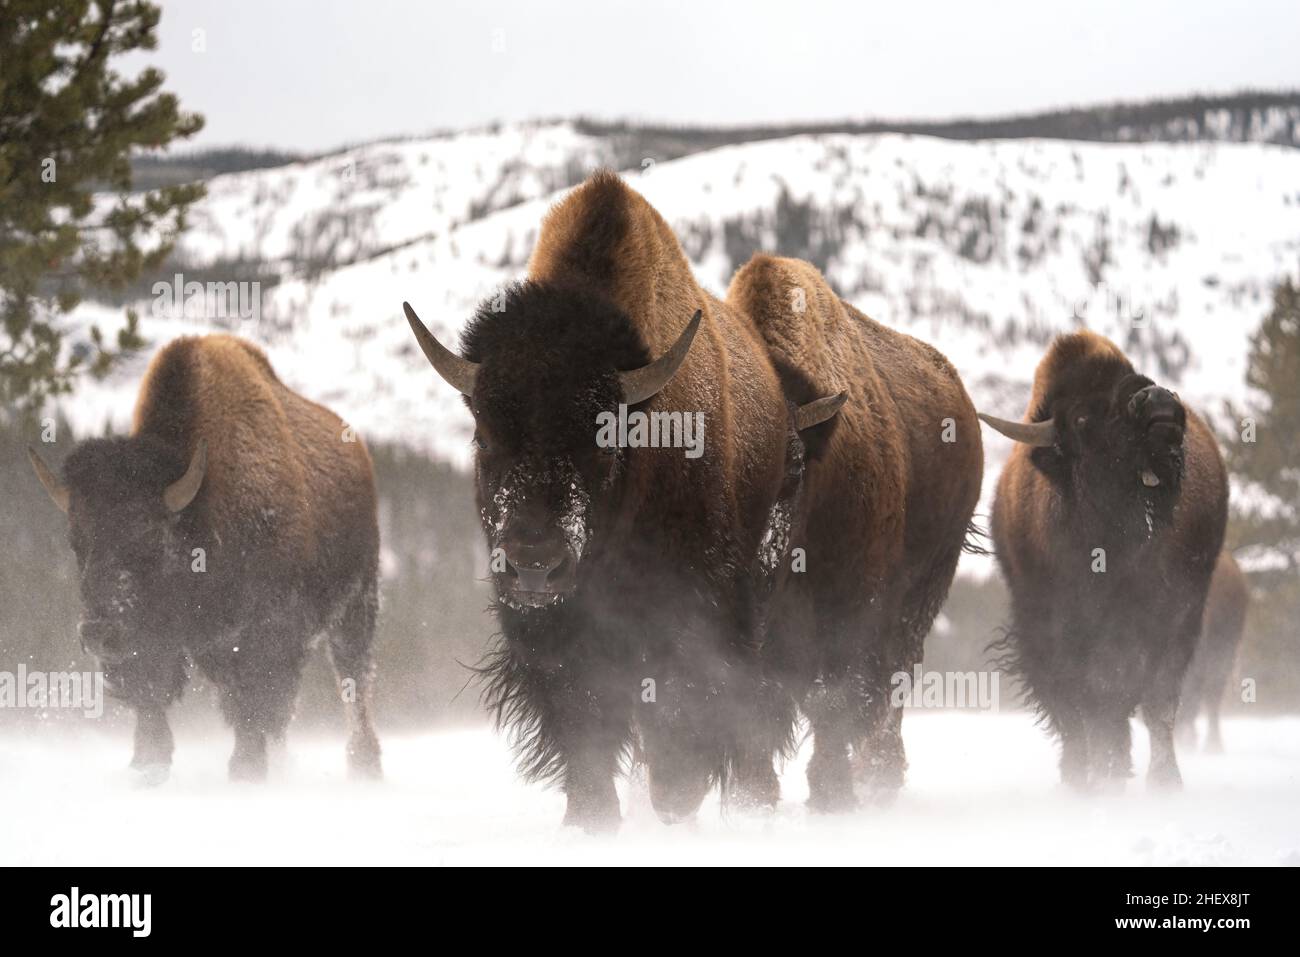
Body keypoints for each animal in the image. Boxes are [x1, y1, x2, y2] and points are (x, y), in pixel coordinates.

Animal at [29, 335, 382, 782]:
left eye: (151, 537)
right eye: (77, 542)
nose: (97, 634)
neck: (202, 508)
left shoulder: (263, 632)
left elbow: (254, 700)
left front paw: (245, 769)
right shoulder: (166, 642)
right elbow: (153, 694)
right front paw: (147, 763)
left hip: (356, 604)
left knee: (353, 678)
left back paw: (364, 766)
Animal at [981, 330, 1228, 789]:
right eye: (1081, 419)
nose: (1158, 401)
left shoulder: (1163, 619)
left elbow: (1132, 696)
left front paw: (1128, 776)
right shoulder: (1046, 627)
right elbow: (1075, 702)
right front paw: (1082, 778)